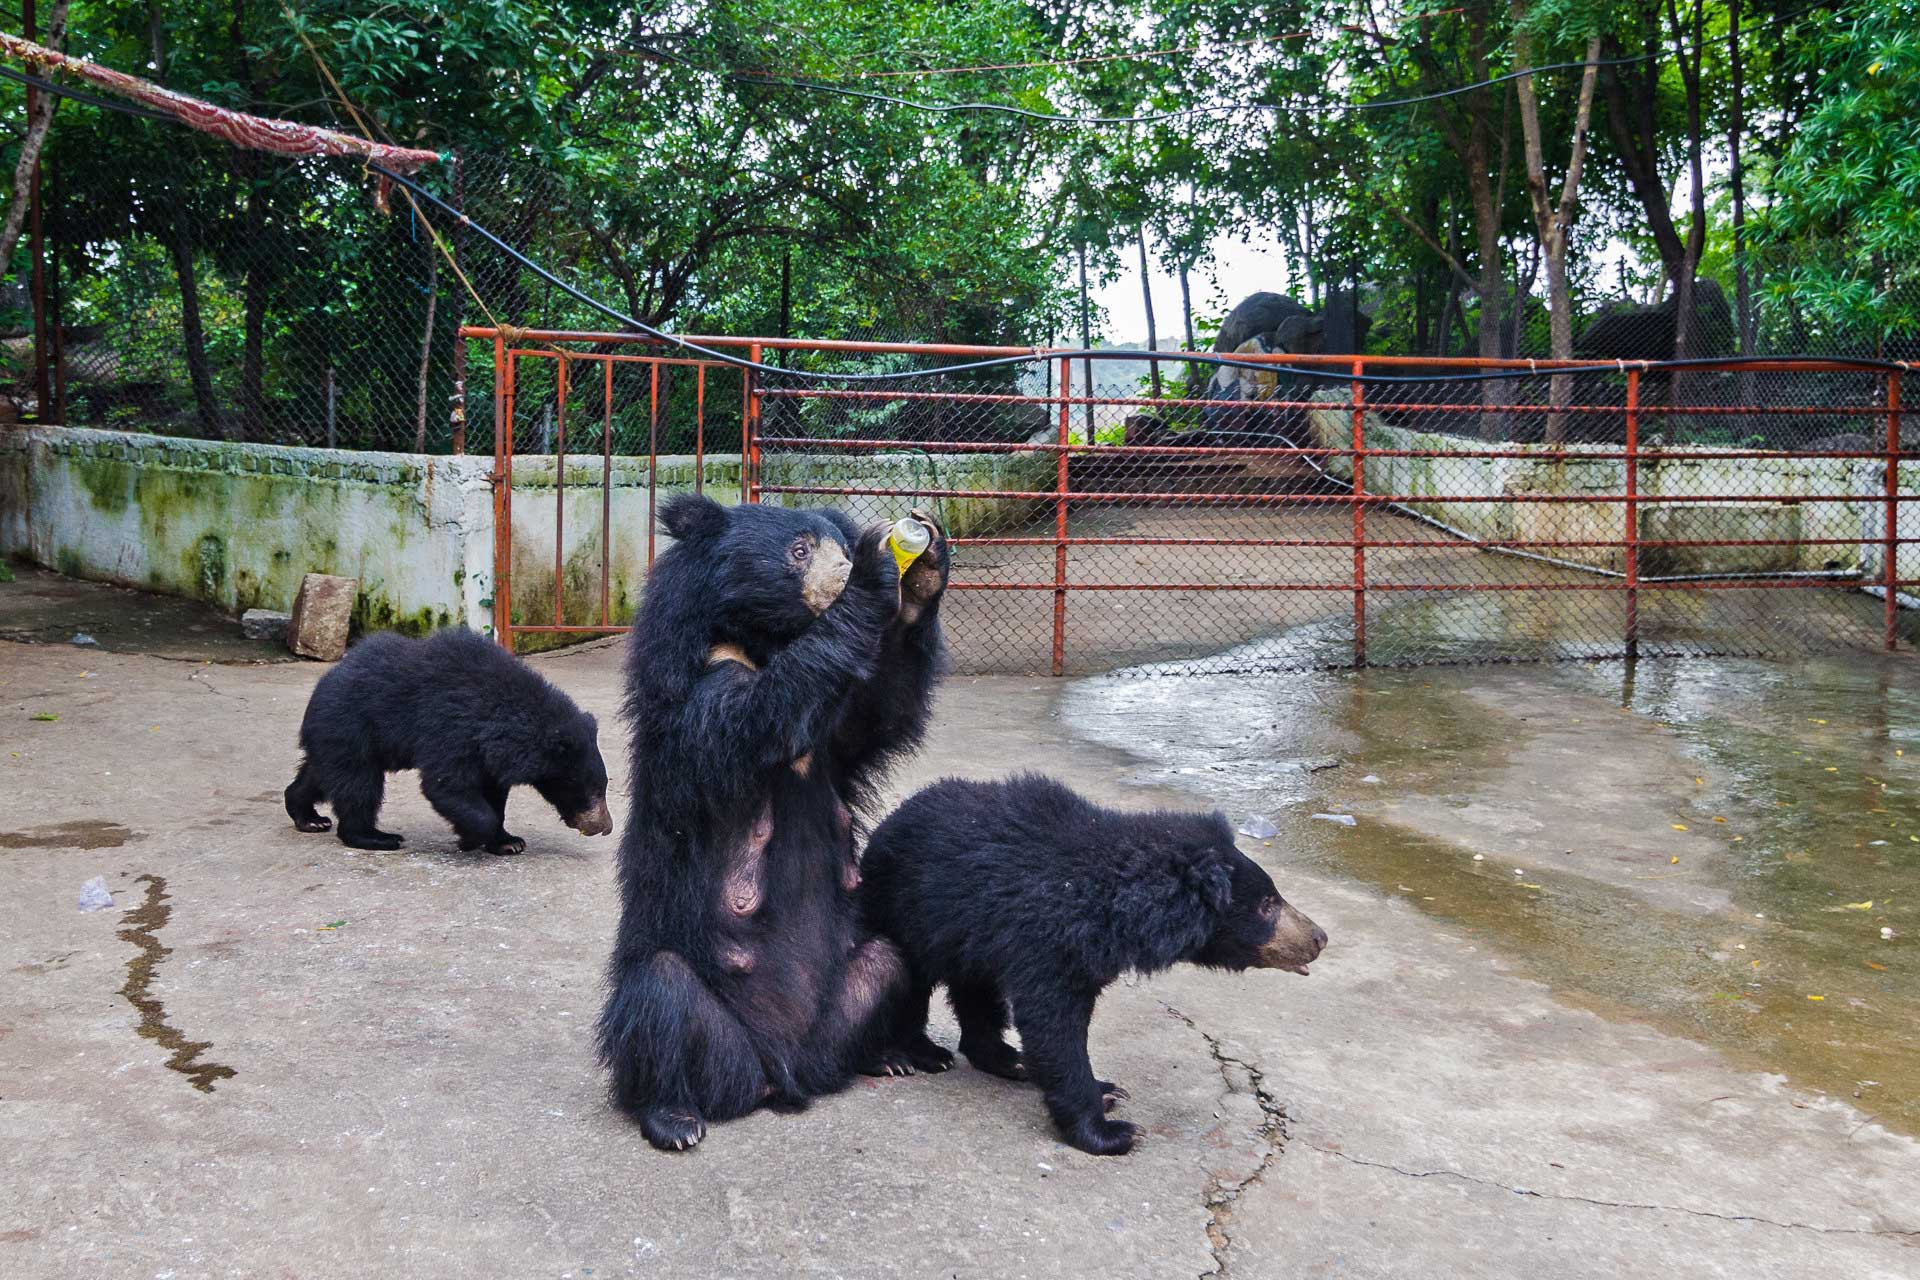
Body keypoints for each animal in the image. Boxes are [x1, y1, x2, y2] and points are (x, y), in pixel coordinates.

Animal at [283, 627, 614, 855]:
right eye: (592, 789)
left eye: (603, 786)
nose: (605, 827)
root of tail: (324, 683)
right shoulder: (451, 726)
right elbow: (447, 784)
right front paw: (472, 838)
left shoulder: (488, 755)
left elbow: (492, 792)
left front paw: (508, 842)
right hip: (352, 726)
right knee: (358, 784)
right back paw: (375, 836)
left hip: (338, 736)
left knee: (322, 774)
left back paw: (309, 817)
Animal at [596, 495, 950, 1151]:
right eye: (800, 550)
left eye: (836, 542)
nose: (844, 568)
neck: (762, 639)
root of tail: (787, 1071)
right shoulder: (695, 701)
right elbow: (757, 714)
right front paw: (878, 570)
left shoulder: (838, 740)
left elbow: (882, 709)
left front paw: (924, 567)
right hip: (712, 1029)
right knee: (661, 993)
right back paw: (675, 1118)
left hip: (842, 1003)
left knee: (889, 959)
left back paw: (890, 1055)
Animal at [858, 773, 1328, 1156]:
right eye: (1268, 905)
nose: (1319, 939)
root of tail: (884, 826)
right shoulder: (1048, 936)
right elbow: (1055, 1025)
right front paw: (1111, 1131)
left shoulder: (1081, 953)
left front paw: (1106, 1088)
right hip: (901, 910)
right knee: (902, 980)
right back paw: (907, 1055)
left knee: (975, 988)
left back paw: (1005, 1059)